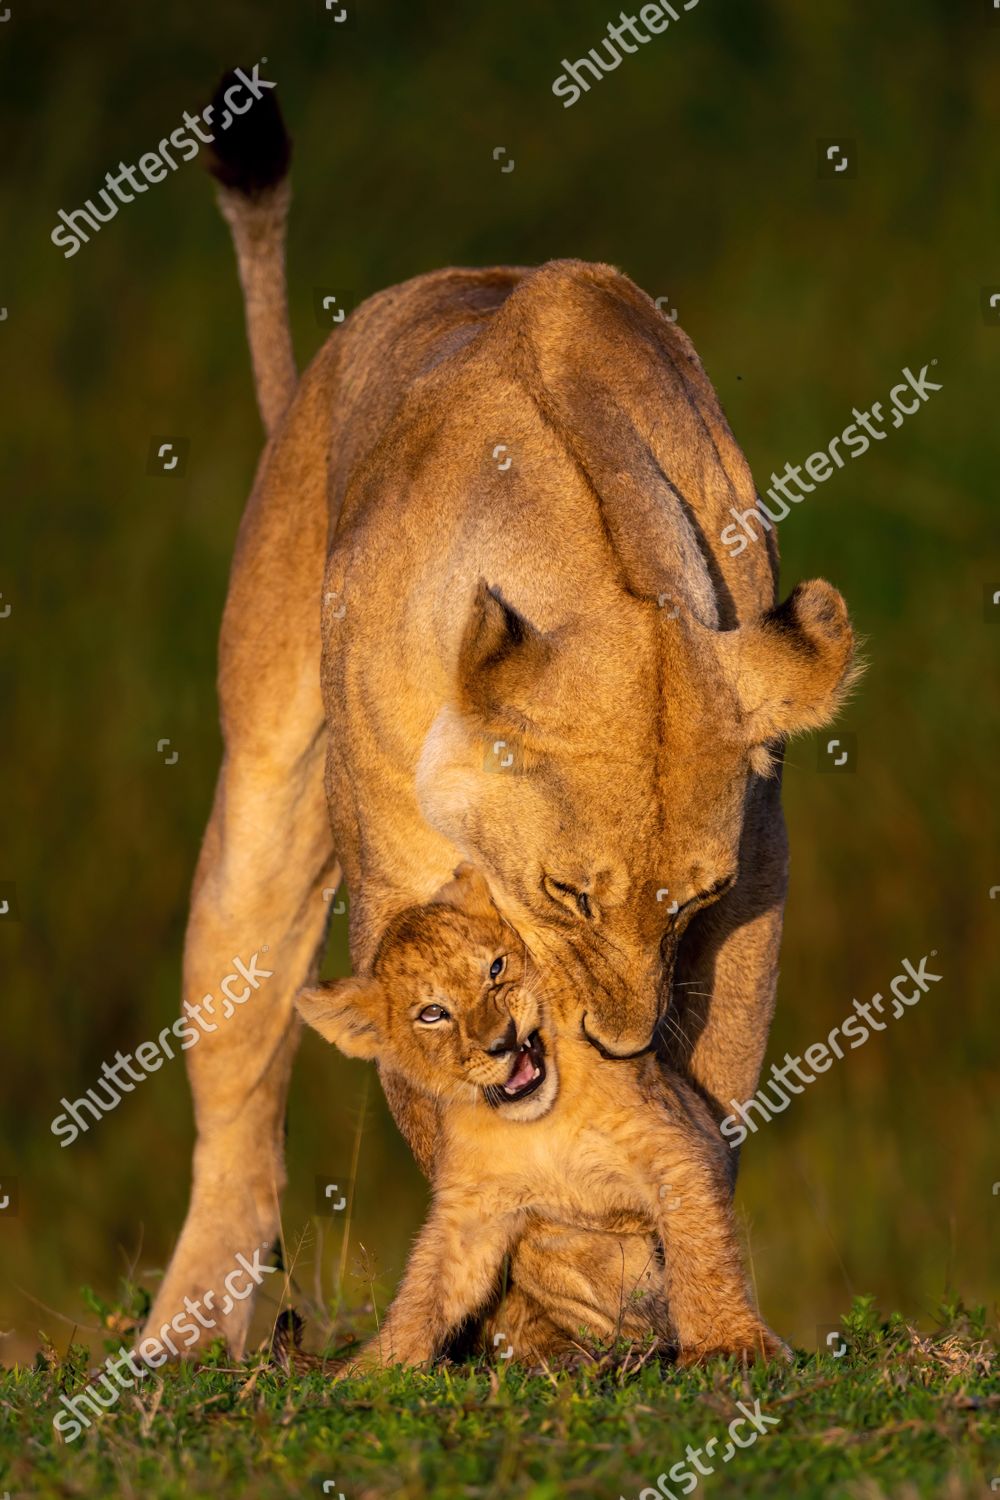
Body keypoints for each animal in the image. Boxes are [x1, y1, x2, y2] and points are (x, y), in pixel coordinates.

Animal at [296, 864, 787, 1367]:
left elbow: (701, 1252)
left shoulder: (673, 1147)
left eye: (495, 968)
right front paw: (373, 1367)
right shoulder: (472, 1210)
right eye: (433, 1013)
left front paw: (729, 1343)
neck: (541, 1124)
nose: (503, 1040)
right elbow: (425, 1290)